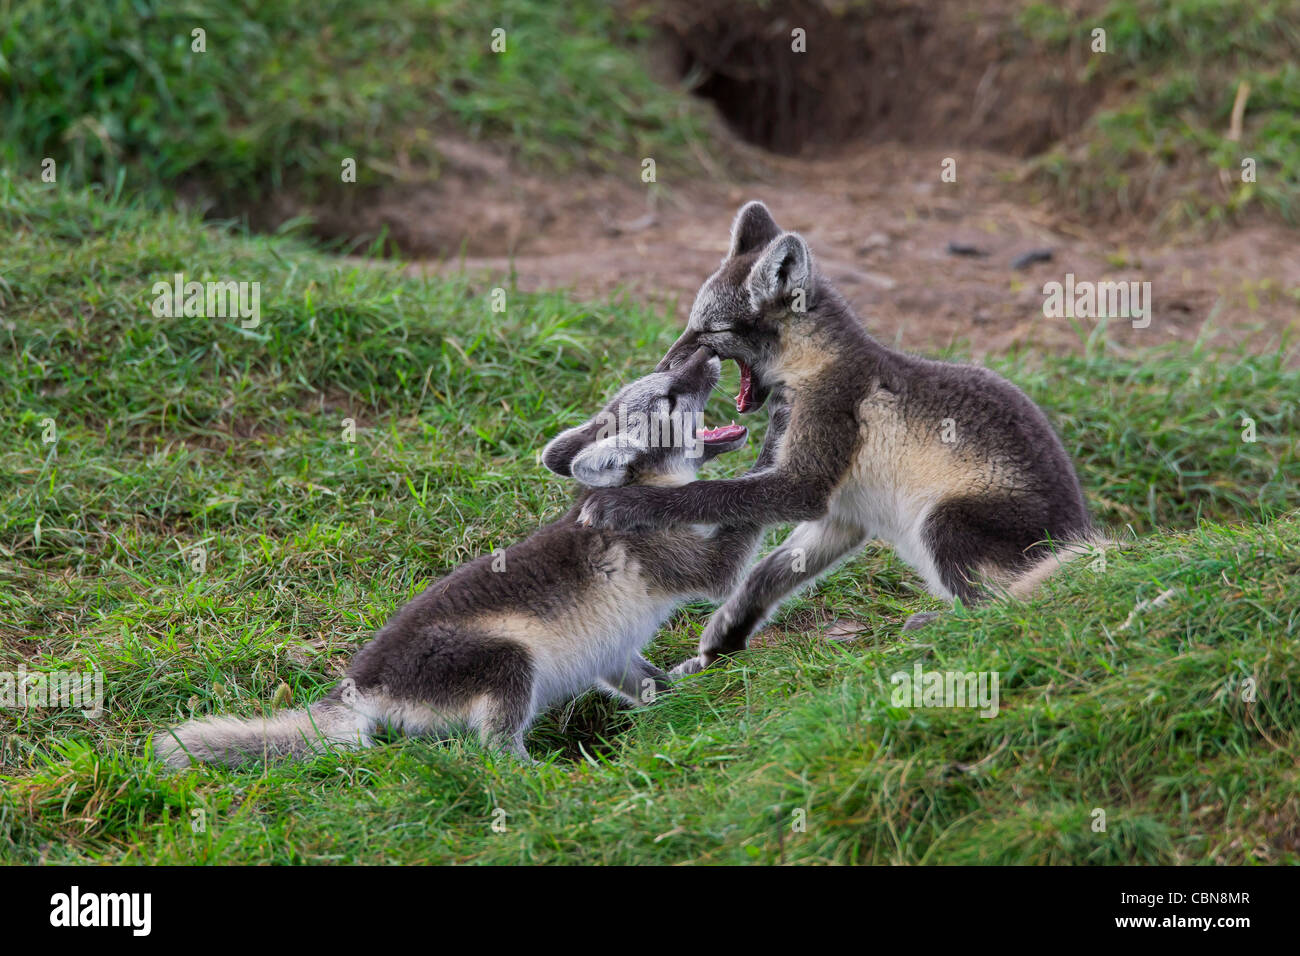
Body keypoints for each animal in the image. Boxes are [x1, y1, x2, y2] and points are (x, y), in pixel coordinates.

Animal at [155, 346, 758, 767]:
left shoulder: (611, 655)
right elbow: (733, 549)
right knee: (492, 751)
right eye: (669, 399)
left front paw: (688, 699)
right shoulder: (683, 561)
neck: (646, 487)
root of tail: (359, 684)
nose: (709, 354)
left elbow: (650, 682)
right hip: (507, 659)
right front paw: (772, 473)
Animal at [578, 201, 1100, 676]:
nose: (662, 367)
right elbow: (767, 574)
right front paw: (723, 638)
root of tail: (1082, 535)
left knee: (1004, 608)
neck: (817, 366)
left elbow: (706, 494)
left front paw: (627, 505)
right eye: (692, 321)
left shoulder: (806, 485)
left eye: (712, 329)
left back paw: (936, 629)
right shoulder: (842, 517)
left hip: (943, 523)